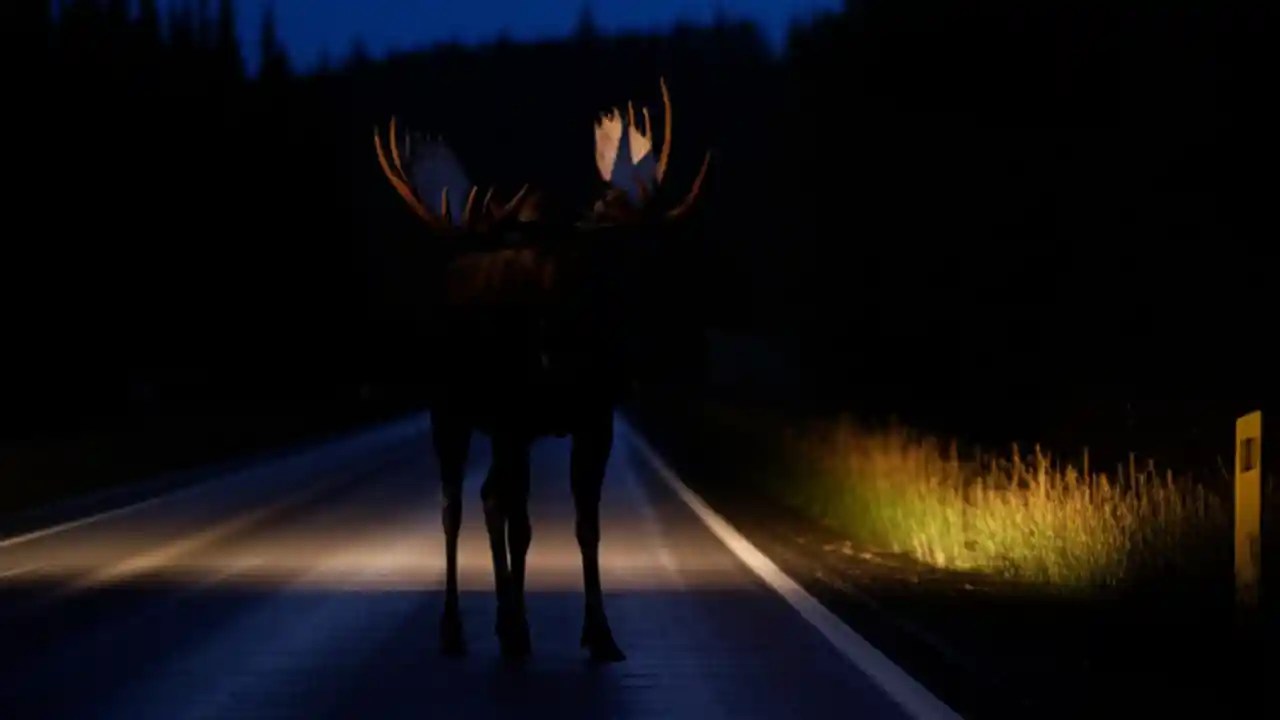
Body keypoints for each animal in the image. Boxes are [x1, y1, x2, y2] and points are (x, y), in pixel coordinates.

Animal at [373, 78, 709, 662]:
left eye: (587, 264)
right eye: (528, 264)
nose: (554, 348)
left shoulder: (594, 421)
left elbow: (585, 526)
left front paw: (599, 633)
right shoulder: (511, 421)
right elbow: (523, 525)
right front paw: (519, 630)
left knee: (489, 498)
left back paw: (500, 618)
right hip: (449, 412)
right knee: (455, 507)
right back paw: (457, 627)